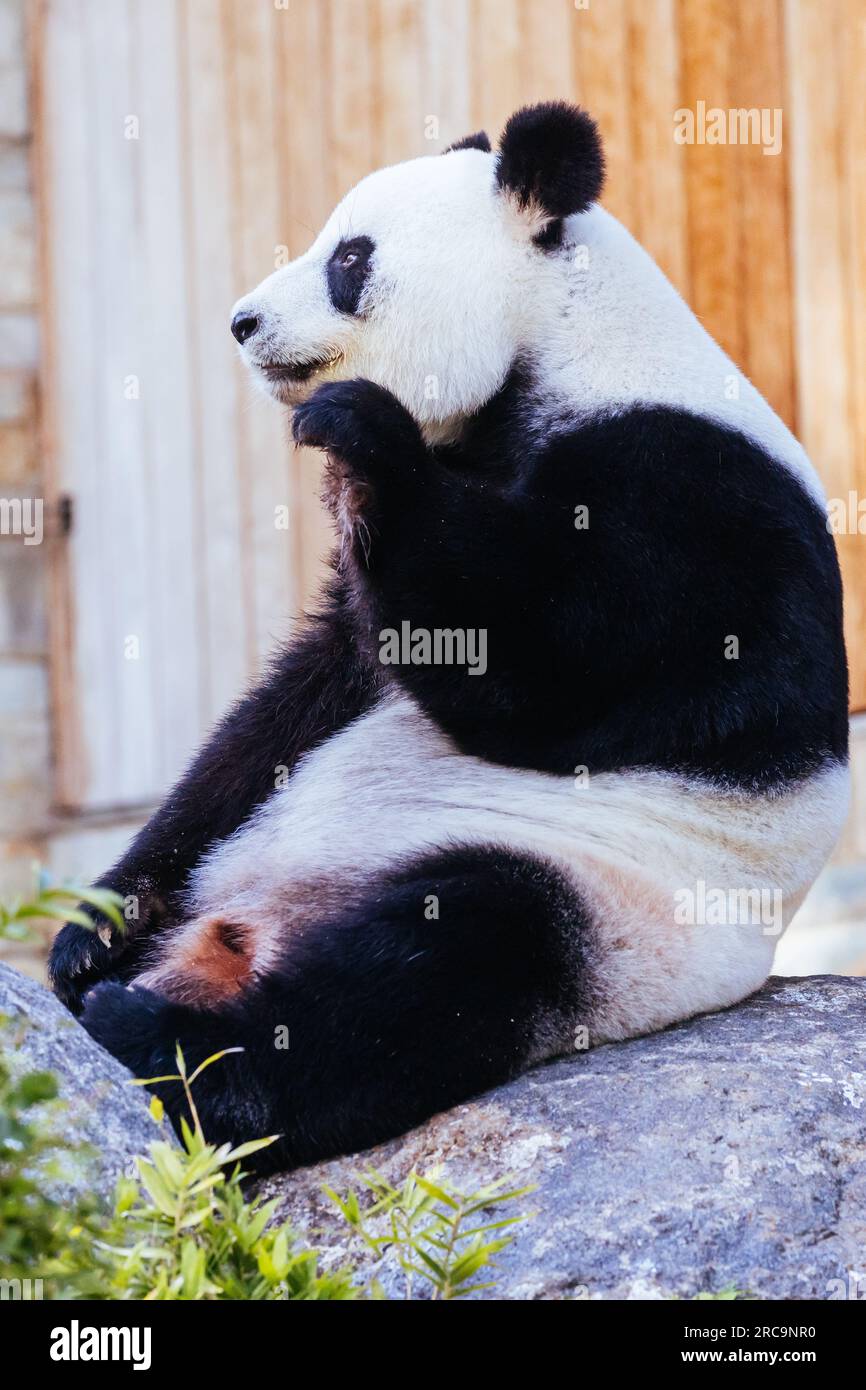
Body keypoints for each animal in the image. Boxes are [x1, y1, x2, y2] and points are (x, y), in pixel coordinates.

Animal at [50, 102, 849, 1175]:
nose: (242, 323)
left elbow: (562, 669)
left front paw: (359, 434)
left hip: (605, 894)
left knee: (433, 970)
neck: (563, 343)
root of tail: (248, 928)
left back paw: (164, 1045)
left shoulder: (705, 499)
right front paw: (88, 925)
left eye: (349, 257)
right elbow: (283, 716)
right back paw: (106, 975)